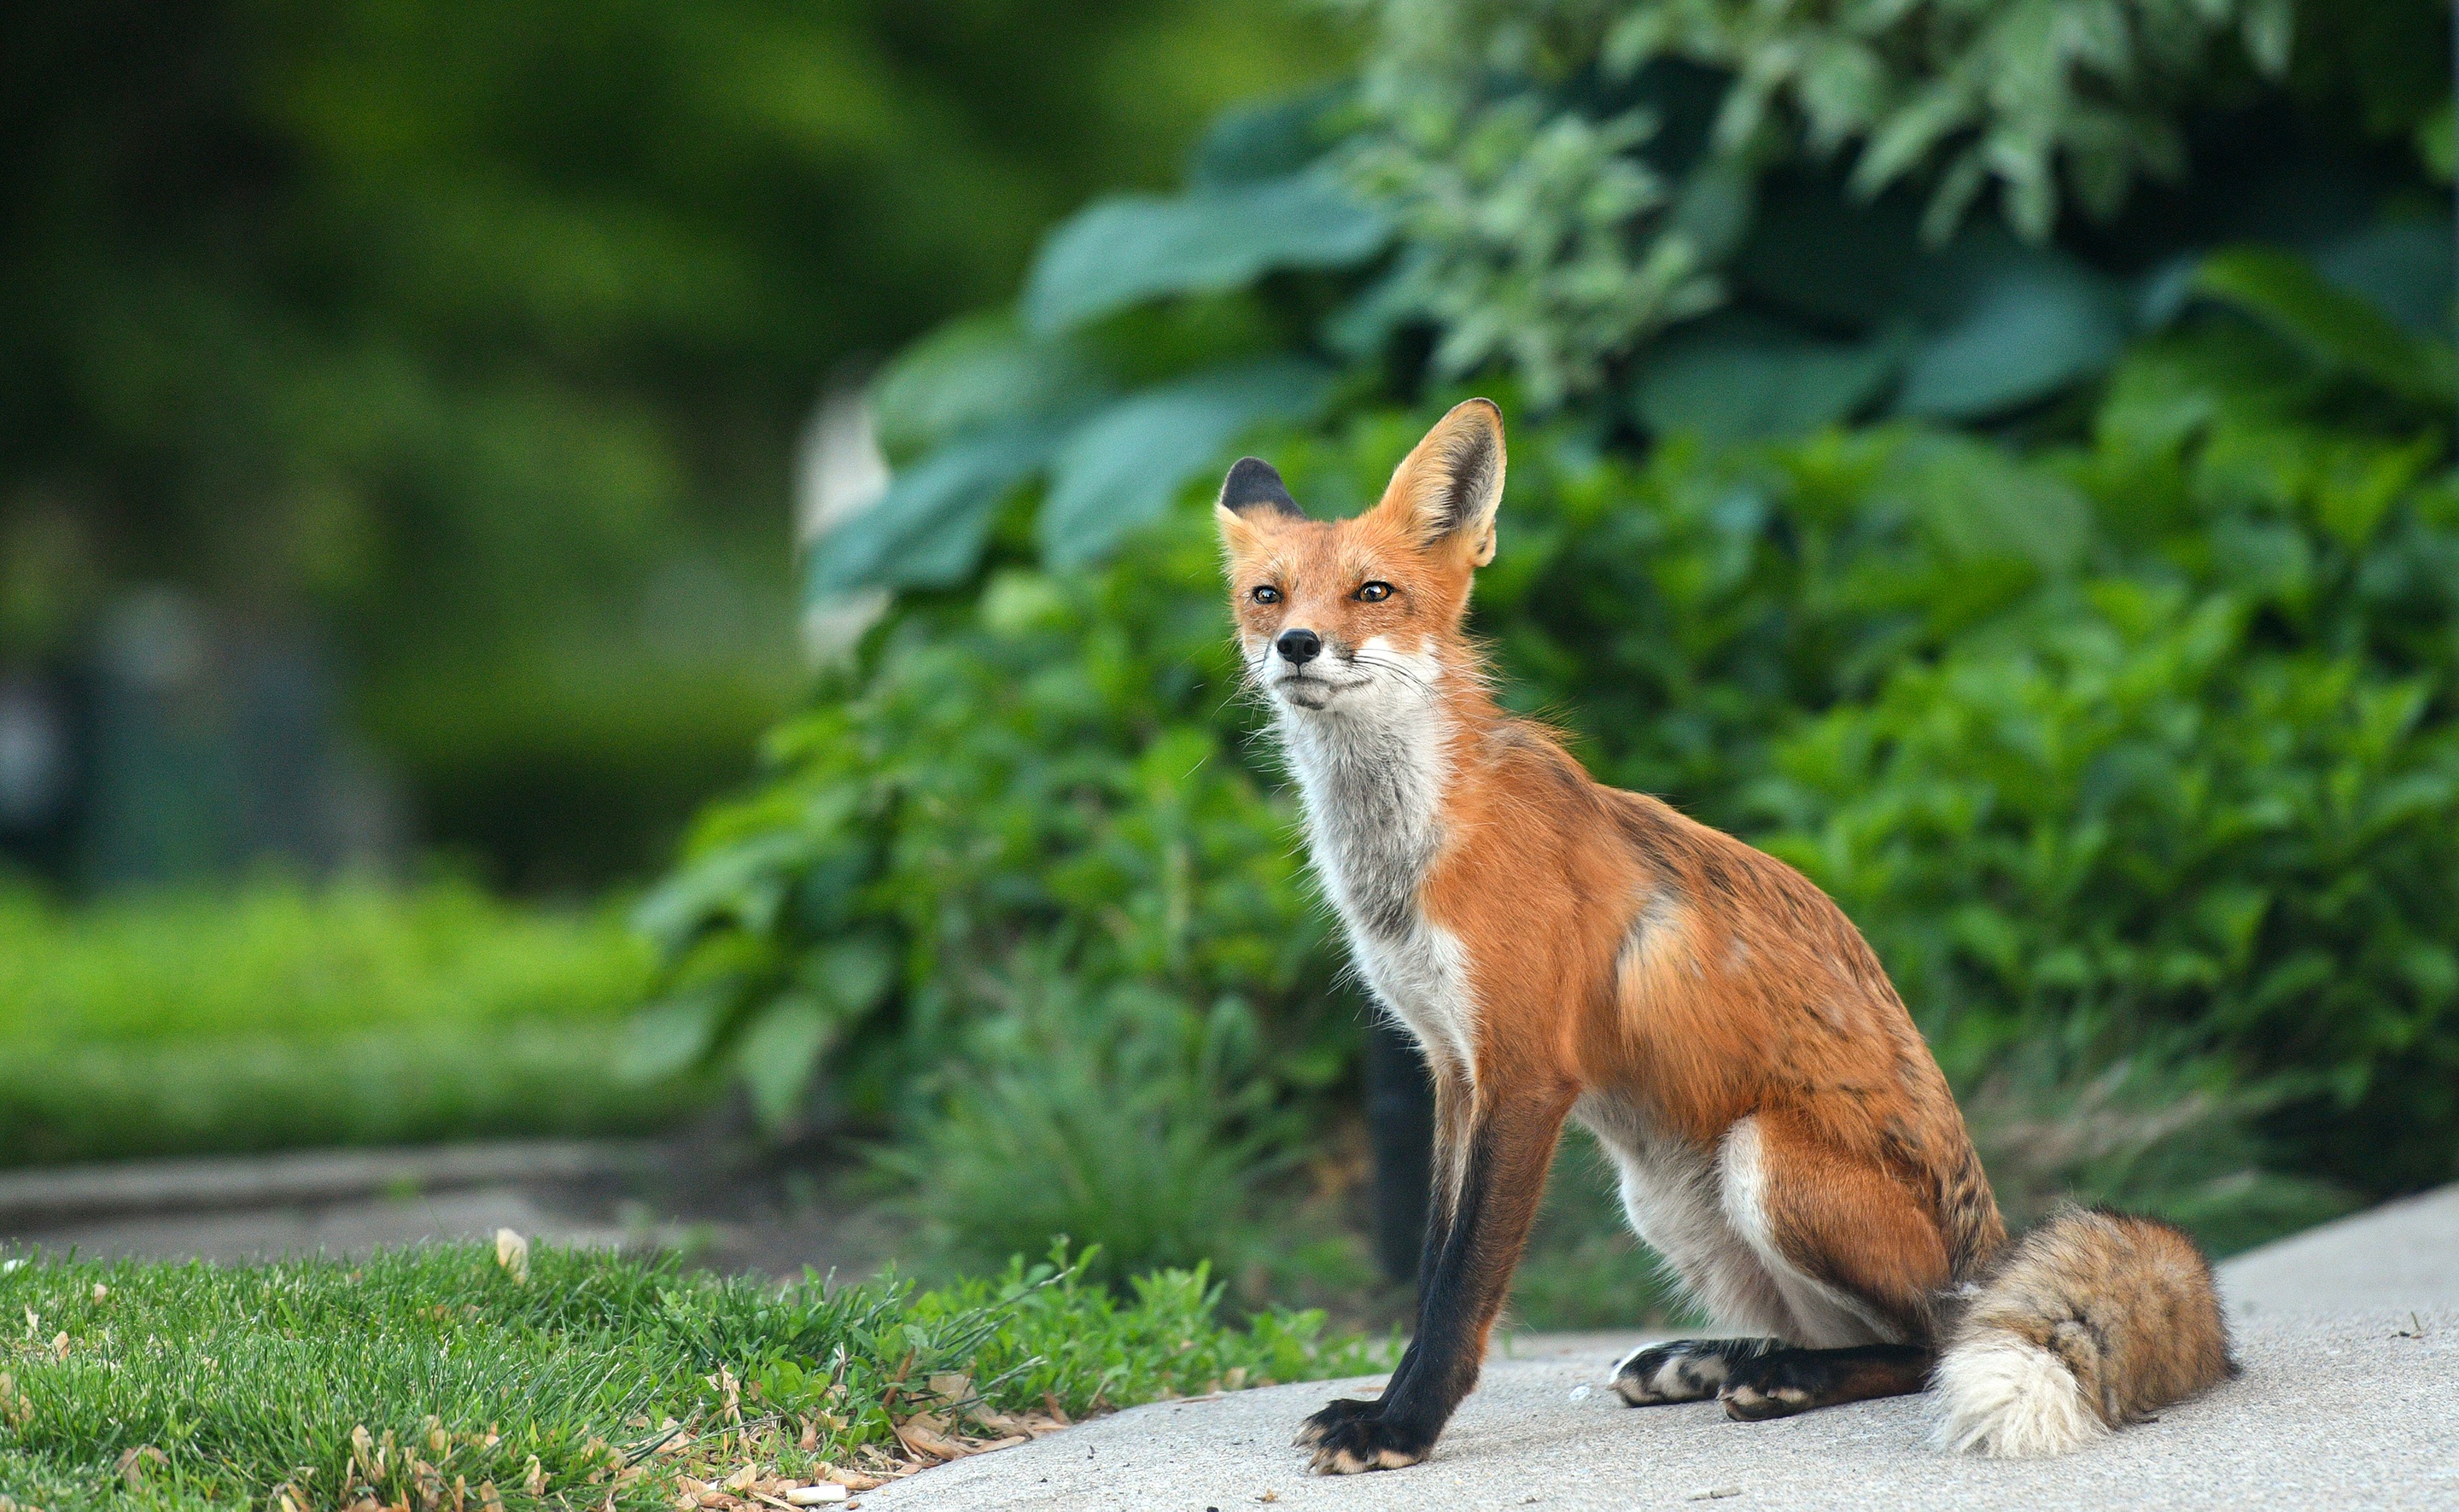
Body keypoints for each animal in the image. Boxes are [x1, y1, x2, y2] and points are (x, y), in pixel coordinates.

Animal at [1213, 398, 2238, 1474]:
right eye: (1266, 595)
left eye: (1374, 592)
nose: (1298, 644)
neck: (1411, 852)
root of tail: (1991, 1249)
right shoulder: (1452, 1068)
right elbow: (1427, 1268)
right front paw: (1393, 1406)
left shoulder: (1525, 1072)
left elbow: (1461, 1286)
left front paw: (1399, 1425)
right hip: (1663, 1197)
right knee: (1840, 1328)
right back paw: (1716, 1358)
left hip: (1765, 1161)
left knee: (1927, 1342)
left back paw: (1784, 1379)